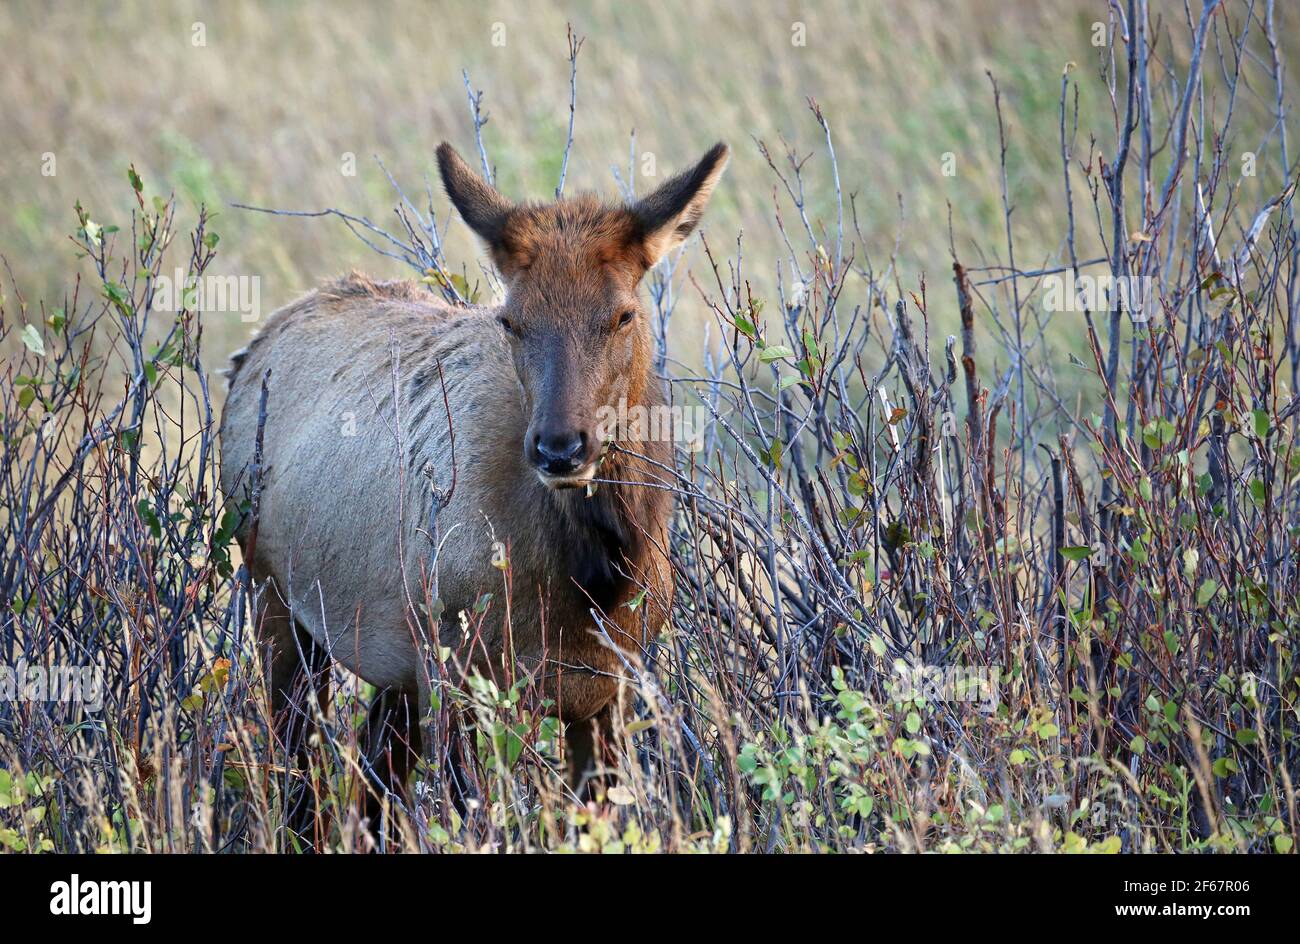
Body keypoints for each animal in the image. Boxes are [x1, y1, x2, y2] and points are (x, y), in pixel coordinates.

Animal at [219, 142, 729, 824]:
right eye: (511, 320)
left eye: (623, 314)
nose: (560, 447)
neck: (596, 582)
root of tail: (248, 353)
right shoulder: (457, 674)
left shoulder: (613, 686)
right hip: (275, 594)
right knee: (299, 773)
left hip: (394, 658)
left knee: (373, 778)